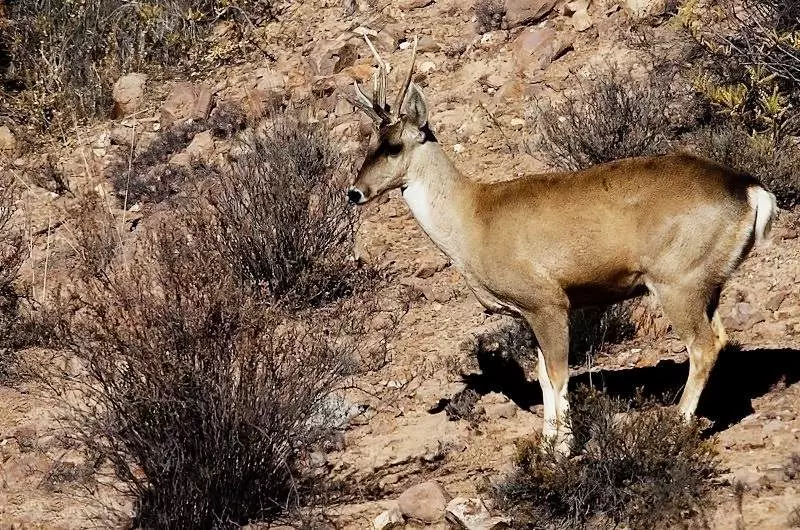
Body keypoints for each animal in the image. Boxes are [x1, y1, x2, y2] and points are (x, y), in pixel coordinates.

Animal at [346, 36, 780, 450]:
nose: (354, 192)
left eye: (394, 146)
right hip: (708, 281)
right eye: (368, 144)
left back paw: (676, 427)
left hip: (677, 280)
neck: (473, 220)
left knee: (701, 346)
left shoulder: (548, 300)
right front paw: (547, 444)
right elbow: (541, 375)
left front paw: (563, 449)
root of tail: (752, 190)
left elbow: (557, 375)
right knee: (720, 339)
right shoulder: (527, 310)